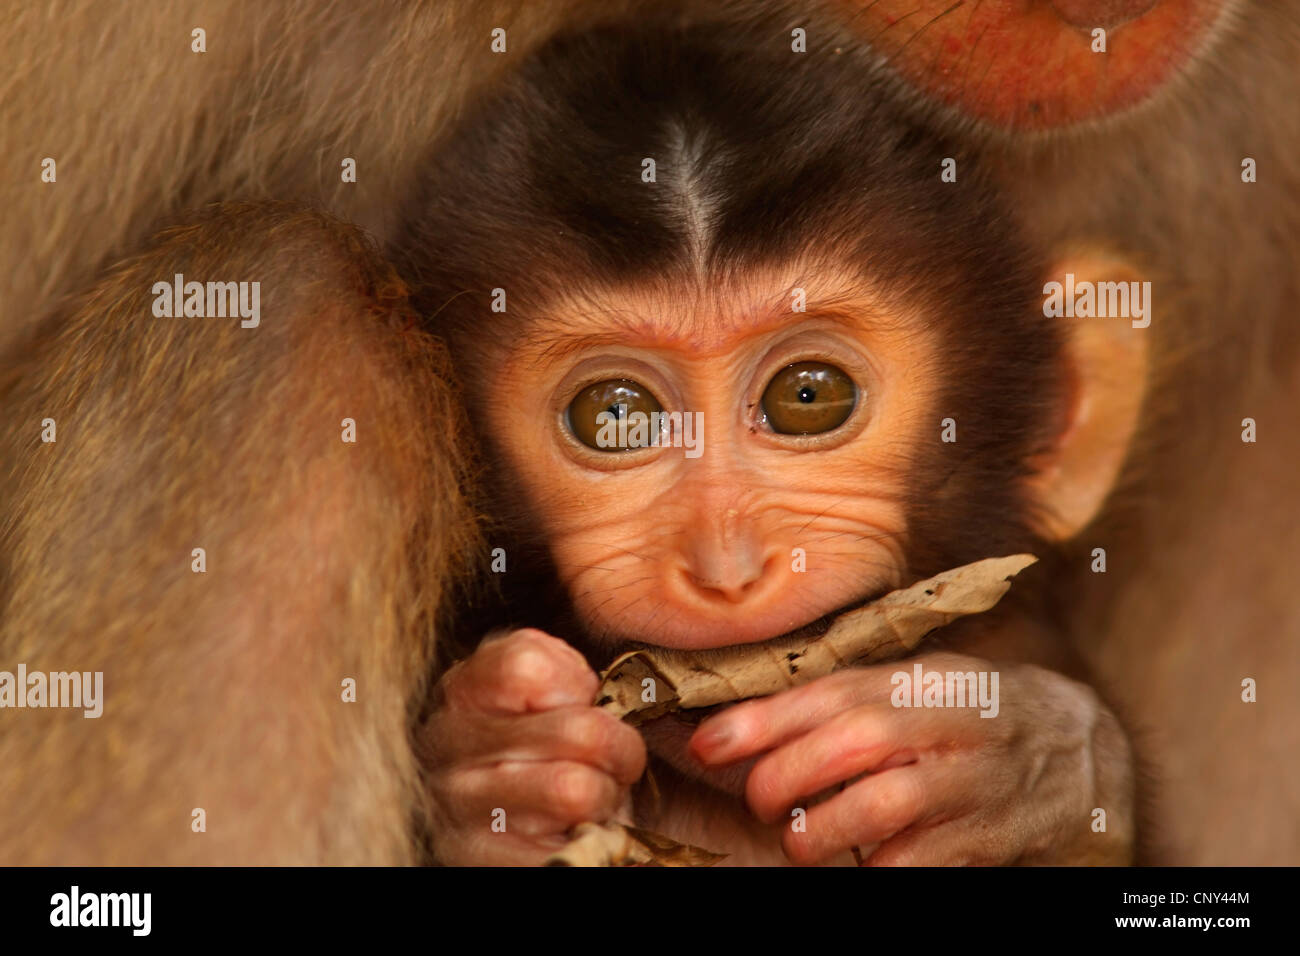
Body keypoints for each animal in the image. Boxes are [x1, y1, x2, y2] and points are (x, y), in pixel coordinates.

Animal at [1, 0, 1296, 866]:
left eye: (808, 396)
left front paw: (994, 760)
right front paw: (509, 766)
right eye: (616, 417)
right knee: (283, 312)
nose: (724, 565)